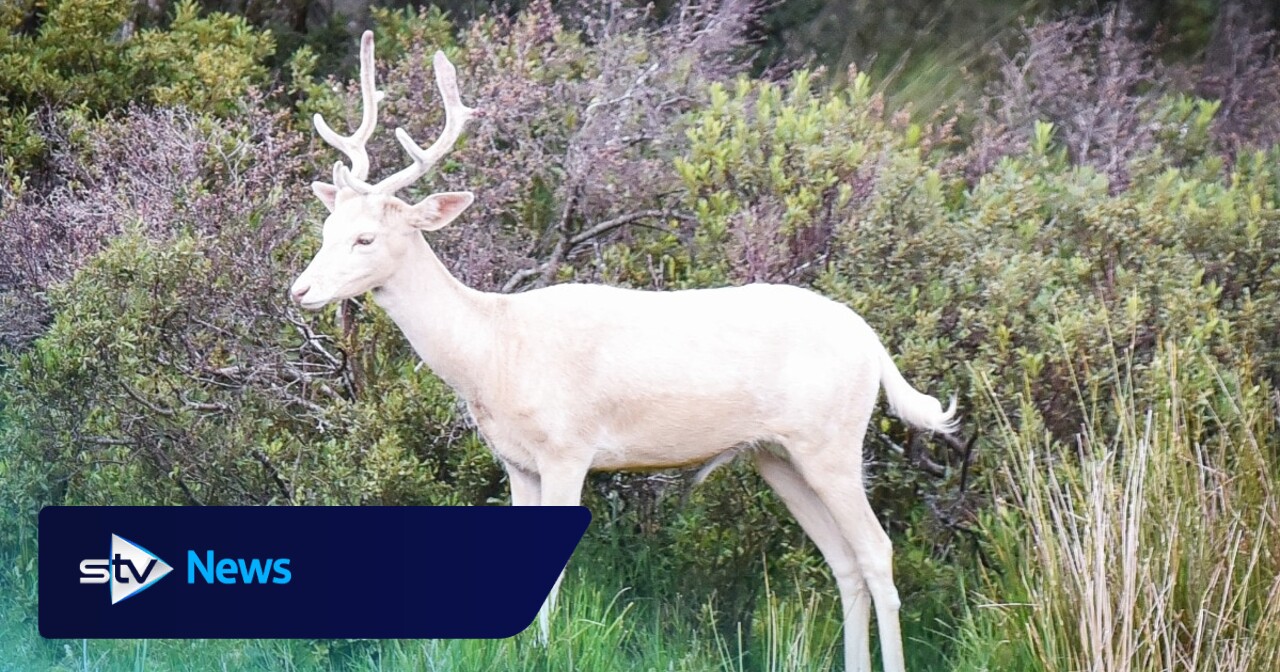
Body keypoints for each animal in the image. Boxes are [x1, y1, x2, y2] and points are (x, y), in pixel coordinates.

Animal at [289, 31, 957, 672]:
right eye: (325, 230)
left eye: (365, 237)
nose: (300, 290)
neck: (494, 352)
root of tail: (871, 341)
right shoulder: (517, 461)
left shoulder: (568, 447)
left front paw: (544, 652)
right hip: (777, 453)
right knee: (844, 560)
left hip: (832, 439)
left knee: (876, 550)